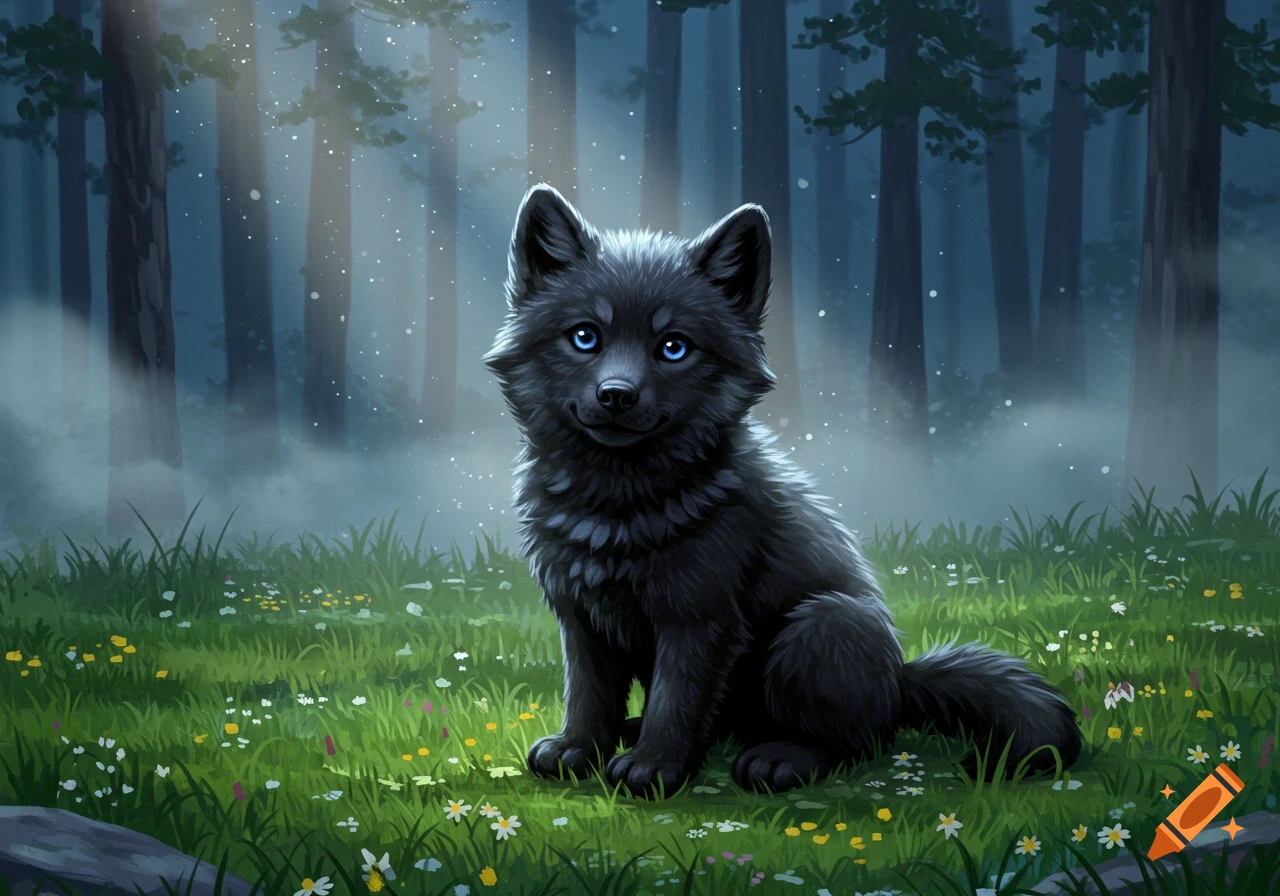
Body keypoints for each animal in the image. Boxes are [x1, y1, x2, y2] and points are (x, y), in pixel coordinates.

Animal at [483, 184, 1083, 796]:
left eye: (674, 347)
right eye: (585, 336)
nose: (617, 395)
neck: (616, 506)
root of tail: (900, 682)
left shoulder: (698, 620)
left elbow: (676, 700)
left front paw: (653, 767)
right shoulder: (580, 618)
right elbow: (587, 693)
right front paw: (579, 750)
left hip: (823, 626)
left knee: (857, 742)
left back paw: (779, 759)